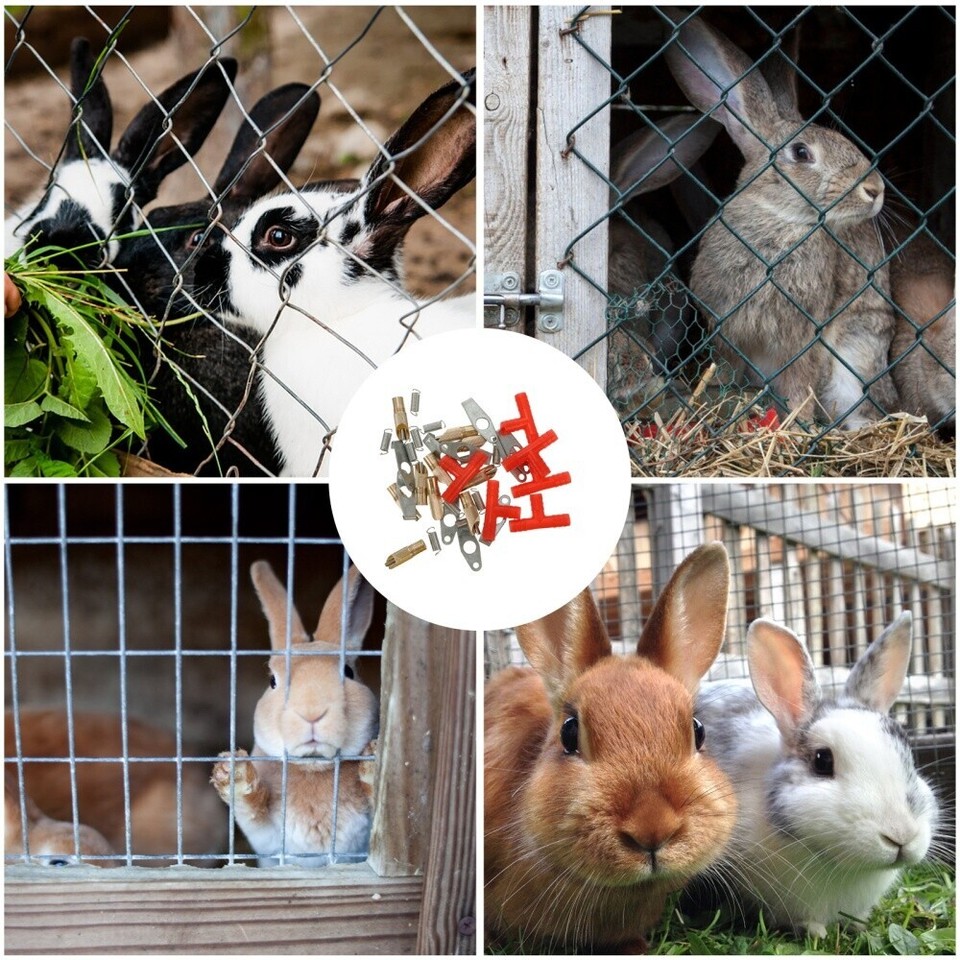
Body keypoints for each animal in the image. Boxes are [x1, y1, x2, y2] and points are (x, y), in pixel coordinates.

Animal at [211, 561, 379, 867]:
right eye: (272, 681)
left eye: (348, 672)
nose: (311, 713)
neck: (313, 768)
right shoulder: (266, 838)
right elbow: (251, 809)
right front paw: (233, 773)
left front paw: (373, 762)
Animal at [664, 13, 900, 429]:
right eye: (801, 153)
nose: (875, 190)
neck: (780, 220)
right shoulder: (727, 330)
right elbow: (729, 367)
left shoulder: (804, 336)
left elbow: (800, 380)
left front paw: (796, 422)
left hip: (856, 362)